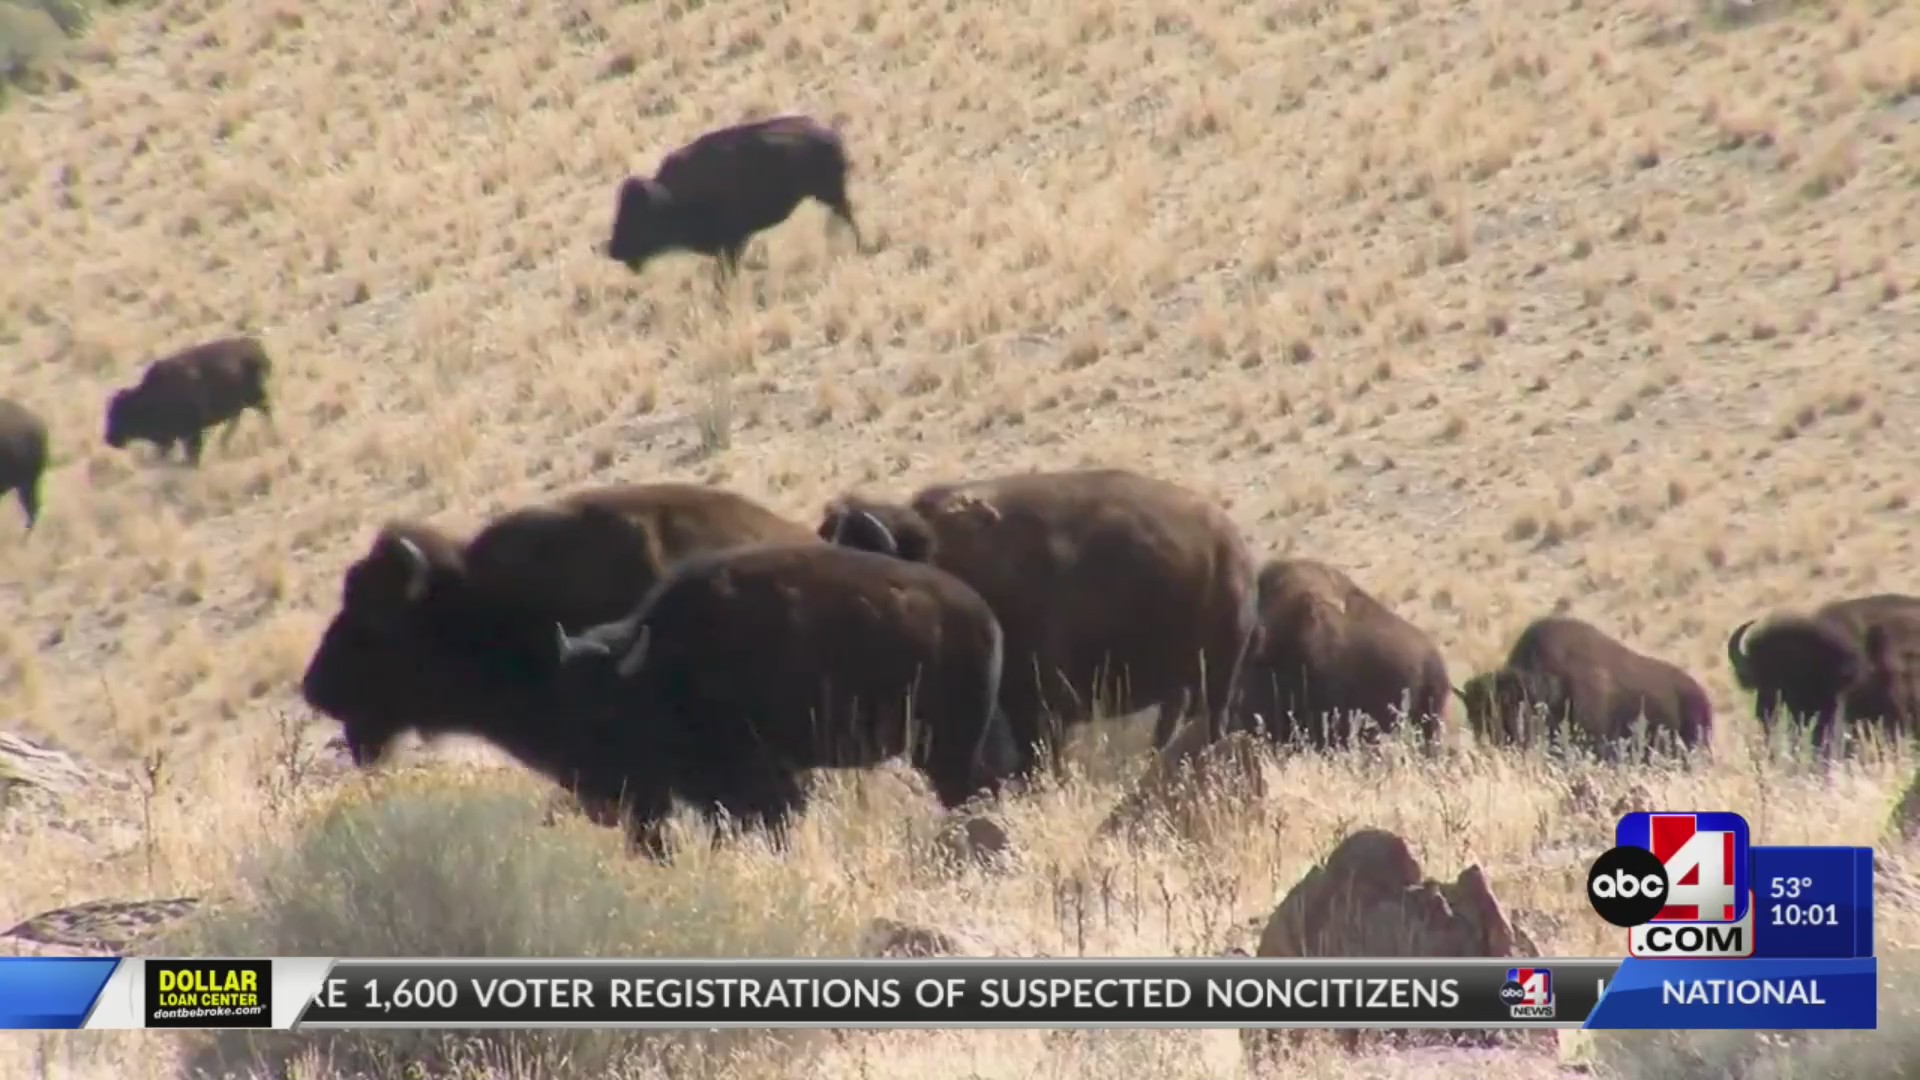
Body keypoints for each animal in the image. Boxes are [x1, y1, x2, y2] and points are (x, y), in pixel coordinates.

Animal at [103, 336, 274, 465]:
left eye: (119, 414)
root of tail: (256, 348)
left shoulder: (191, 433)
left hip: (255, 398)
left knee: (264, 414)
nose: (109, 439)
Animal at [553, 543, 1019, 857]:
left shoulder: (759, 775)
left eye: (609, 713)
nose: (593, 797)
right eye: (567, 711)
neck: (664, 666)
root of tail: (985, 618)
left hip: (945, 750)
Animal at [605, 115, 865, 279]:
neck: (672, 197)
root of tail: (830, 135)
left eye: (639, 217)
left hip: (829, 192)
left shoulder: (731, 242)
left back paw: (859, 247)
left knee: (848, 216)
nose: (613, 250)